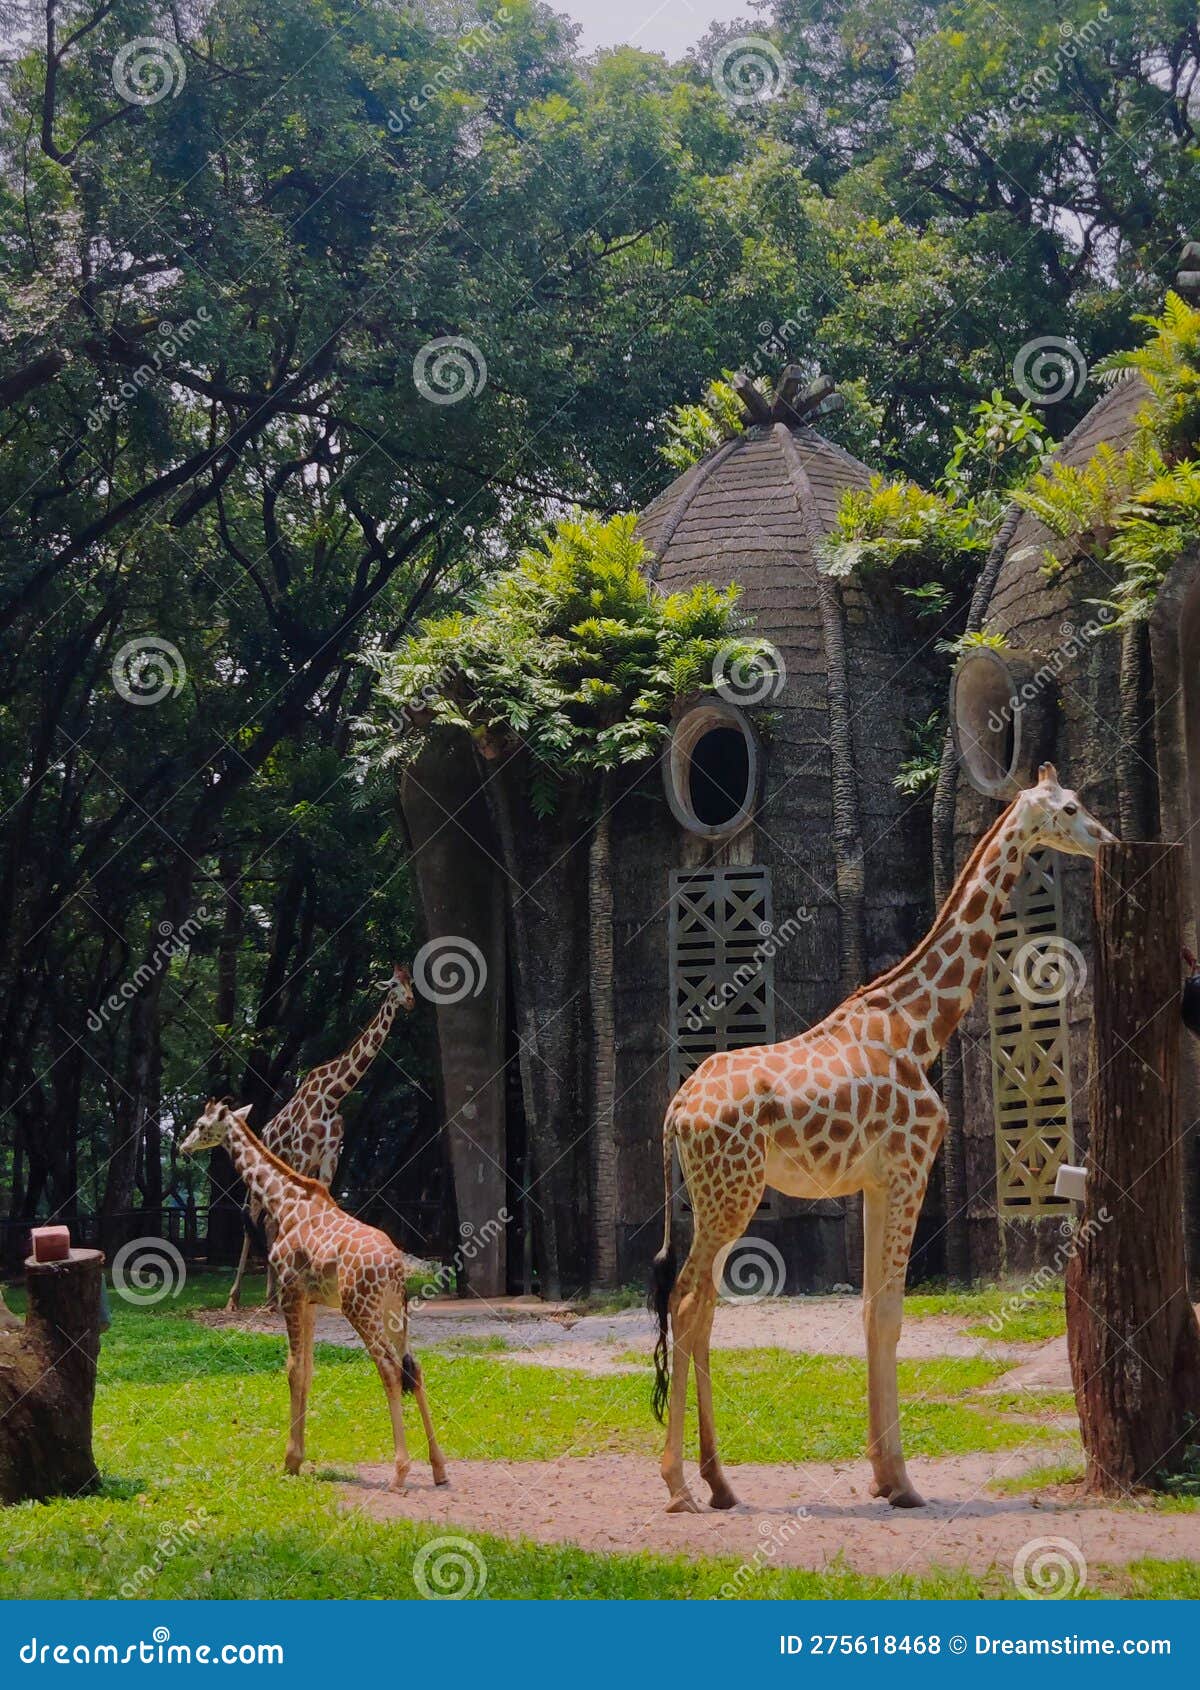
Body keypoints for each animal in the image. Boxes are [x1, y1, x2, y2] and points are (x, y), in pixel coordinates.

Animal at [182, 1099, 447, 1493]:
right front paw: (297, 1458)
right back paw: (439, 1468)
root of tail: (395, 1268)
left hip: (360, 1309)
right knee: (413, 1368)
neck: (282, 1201)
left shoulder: (290, 1292)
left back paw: (400, 1471)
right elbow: (306, 1370)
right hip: (393, 1311)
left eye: (201, 1125)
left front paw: (289, 1460)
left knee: (388, 1368)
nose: (183, 1147)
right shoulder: (310, 1302)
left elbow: (293, 1368)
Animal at [225, 964, 416, 1312]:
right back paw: (238, 1298)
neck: (333, 1095)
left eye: (411, 983)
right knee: (255, 1219)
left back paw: (270, 1295)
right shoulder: (302, 1155)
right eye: (394, 985)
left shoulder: (329, 1159)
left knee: (267, 1221)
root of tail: (263, 1132)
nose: (410, 1002)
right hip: (260, 1176)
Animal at [650, 765, 1115, 1514]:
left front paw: (880, 1473)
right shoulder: (909, 1165)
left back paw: (717, 1482)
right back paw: (682, 1484)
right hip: (733, 1194)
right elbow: (892, 1314)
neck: (919, 1025)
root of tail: (676, 1110)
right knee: (690, 1303)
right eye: (1071, 807)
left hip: (711, 1196)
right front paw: (903, 1481)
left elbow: (870, 1309)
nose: (1108, 840)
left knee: (697, 1307)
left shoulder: (873, 1178)